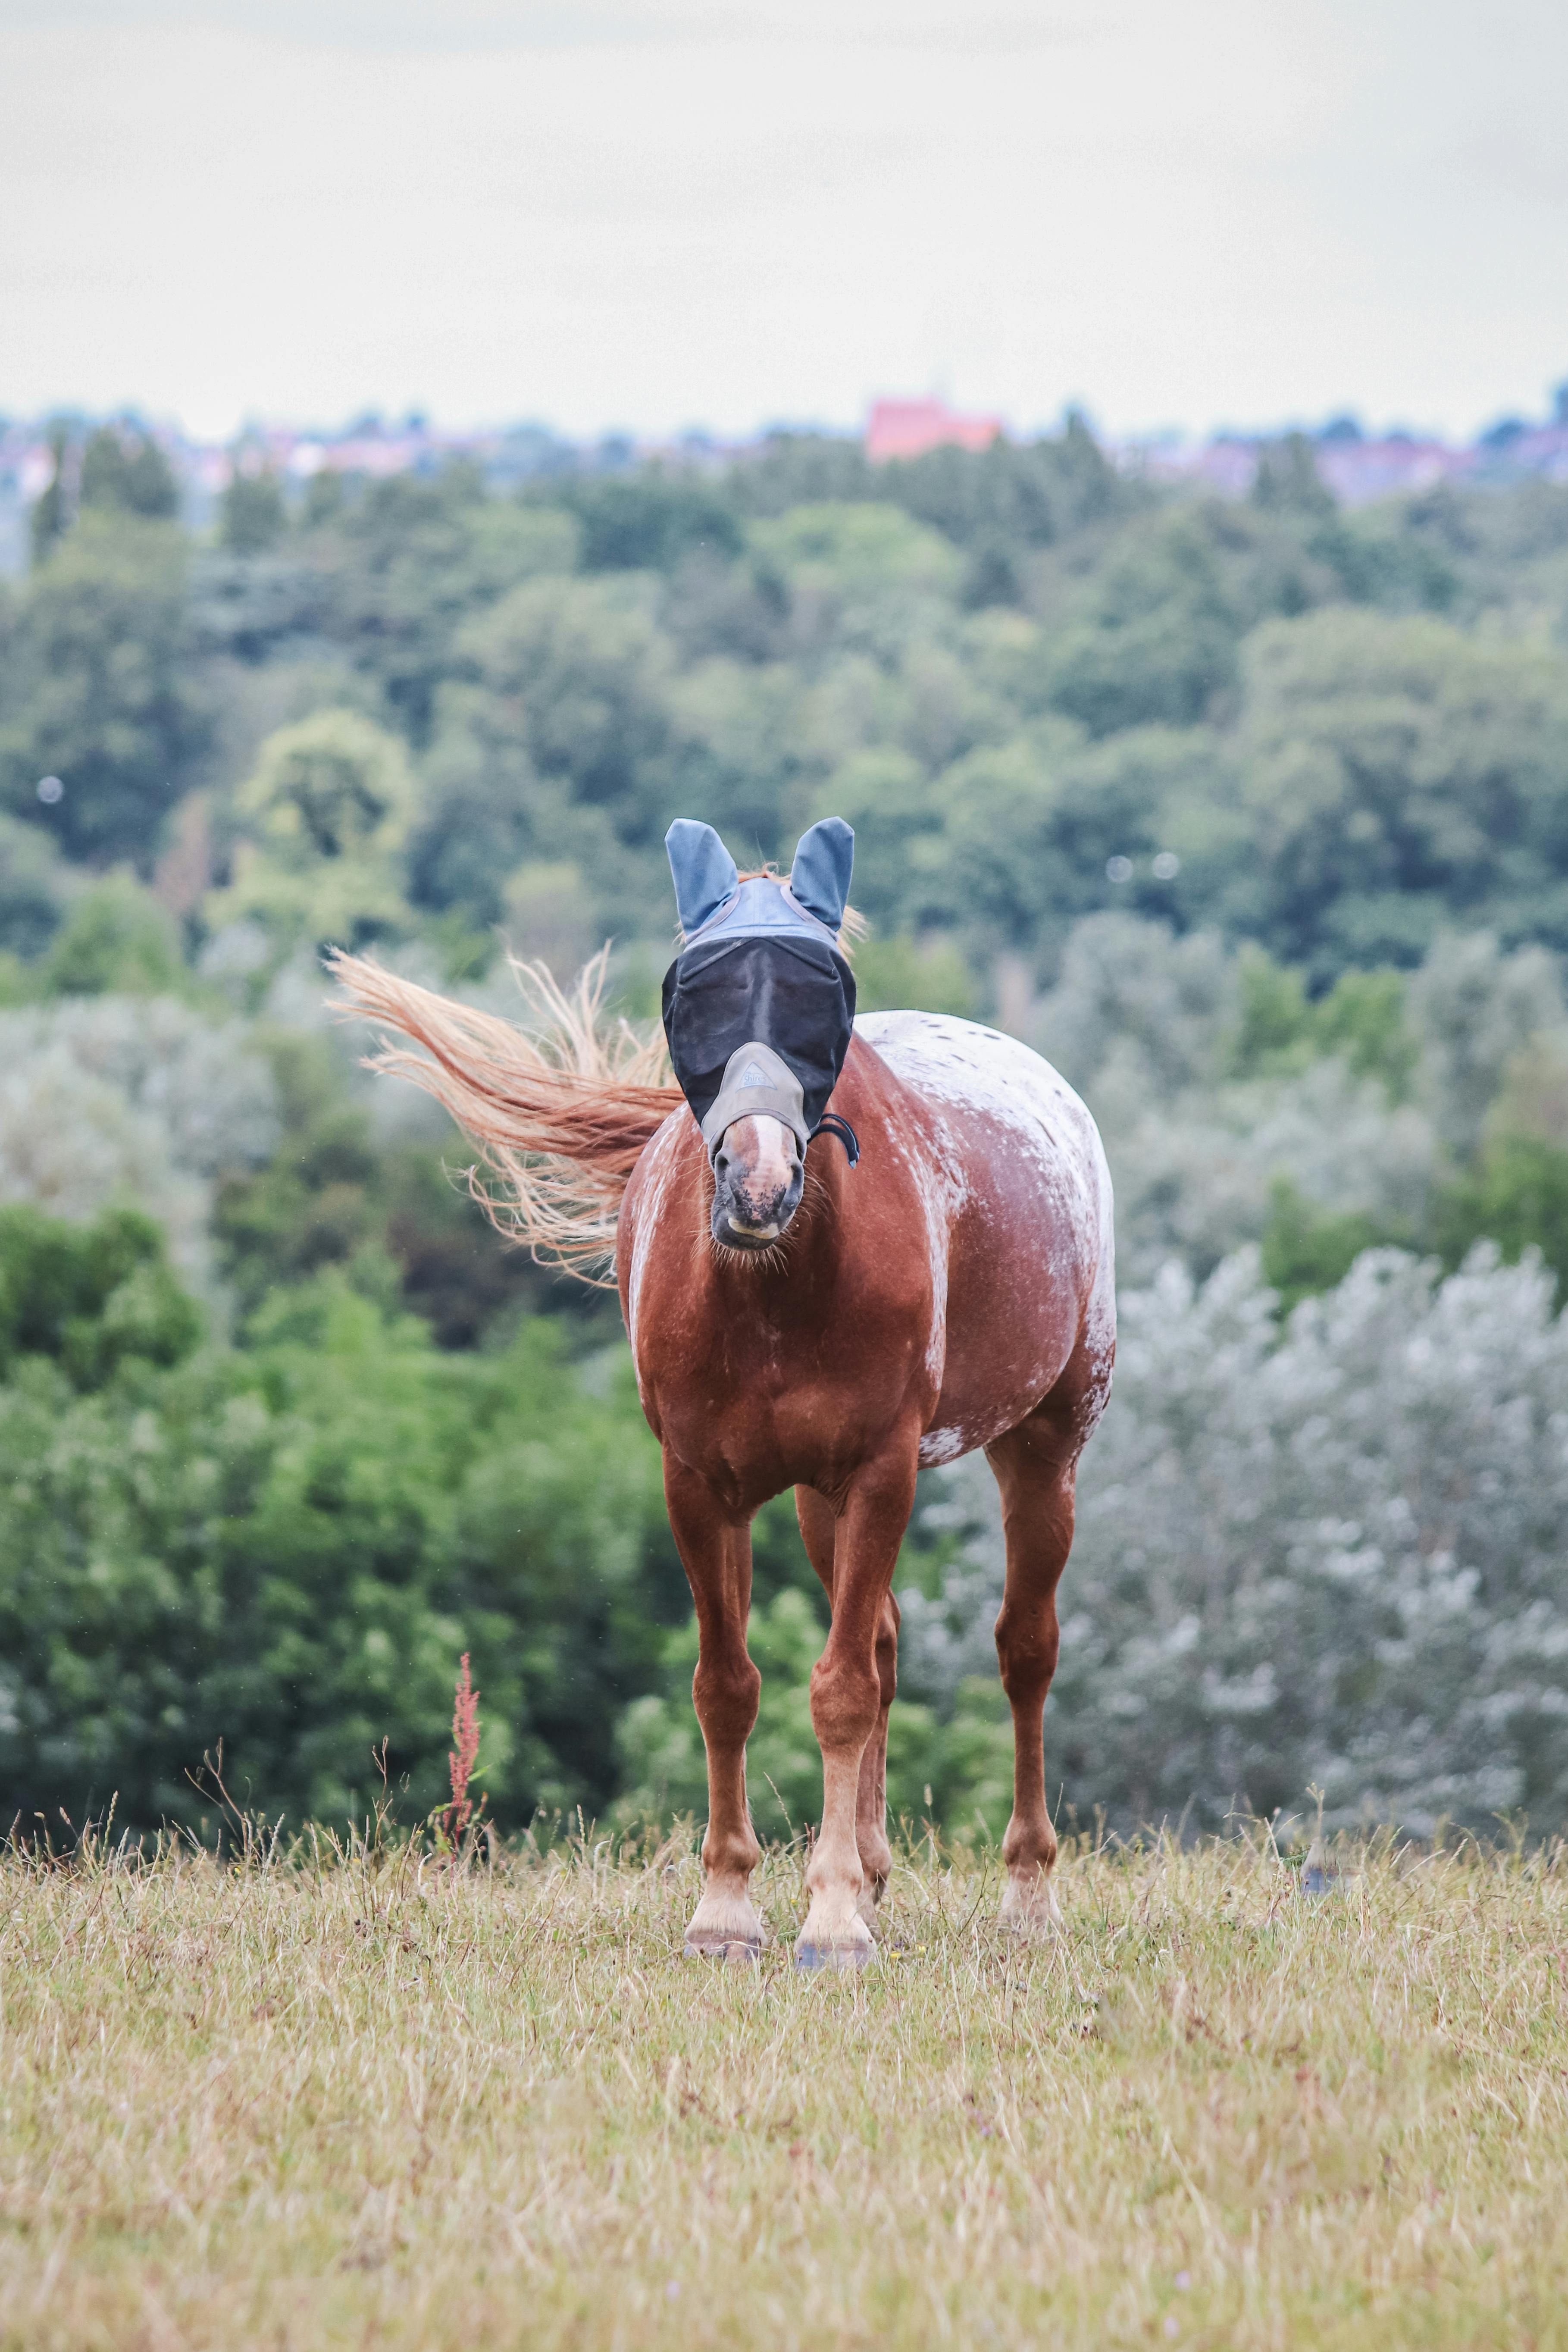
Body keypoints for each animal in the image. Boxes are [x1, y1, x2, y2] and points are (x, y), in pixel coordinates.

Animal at [333, 839, 1114, 1968]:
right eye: (691, 991)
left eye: (820, 992)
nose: (757, 1182)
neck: (775, 1290)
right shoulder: (704, 1483)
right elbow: (729, 1685)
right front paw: (732, 1906)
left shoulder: (880, 1469)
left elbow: (837, 1689)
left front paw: (829, 1920)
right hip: (819, 1500)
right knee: (882, 1641)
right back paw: (874, 1868)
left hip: (1044, 1442)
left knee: (1024, 1650)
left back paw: (1025, 1894)